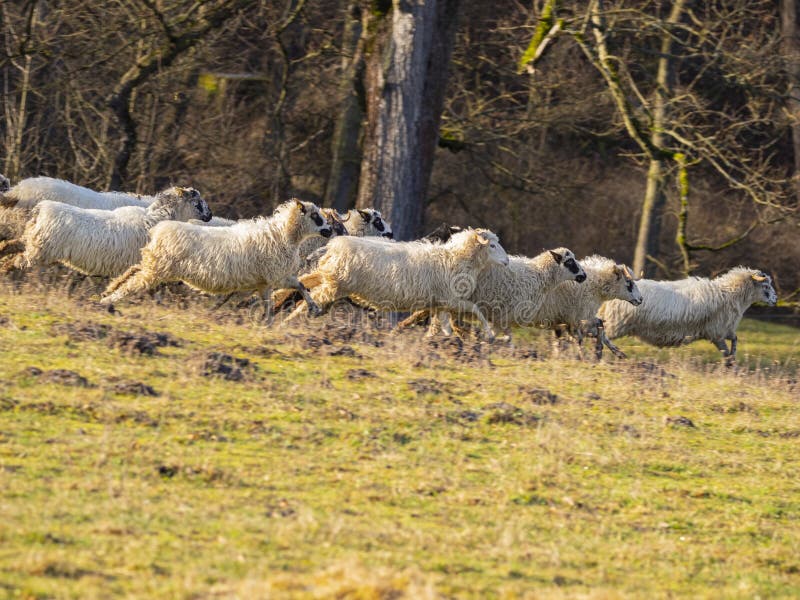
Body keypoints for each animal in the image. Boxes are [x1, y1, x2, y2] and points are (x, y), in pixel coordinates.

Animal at [8, 187, 211, 277]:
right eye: (197, 203)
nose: (210, 215)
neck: (154, 219)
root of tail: (40, 209)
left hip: (32, 241)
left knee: (8, 246)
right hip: (39, 250)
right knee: (15, 260)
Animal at [100, 199, 334, 316]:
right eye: (315, 216)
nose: (330, 230)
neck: (283, 235)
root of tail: (159, 230)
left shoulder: (265, 282)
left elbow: (273, 302)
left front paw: (266, 323)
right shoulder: (275, 276)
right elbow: (299, 287)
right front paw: (314, 309)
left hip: (155, 265)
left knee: (132, 271)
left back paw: (108, 292)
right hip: (158, 269)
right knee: (133, 284)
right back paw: (108, 301)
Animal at [285, 228, 510, 341]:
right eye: (492, 245)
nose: (507, 261)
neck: (455, 258)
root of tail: (332, 247)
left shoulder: (440, 301)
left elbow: (441, 322)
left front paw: (442, 338)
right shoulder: (450, 298)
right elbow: (476, 309)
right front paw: (489, 335)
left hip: (330, 277)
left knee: (306, 285)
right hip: (336, 284)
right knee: (308, 300)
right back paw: (287, 323)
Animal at [598, 267, 777, 363]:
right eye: (766, 286)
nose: (775, 300)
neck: (729, 294)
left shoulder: (723, 331)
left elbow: (734, 340)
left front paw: (733, 359)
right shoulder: (716, 333)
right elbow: (727, 351)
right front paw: (730, 364)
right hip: (617, 323)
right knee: (602, 335)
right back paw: (616, 353)